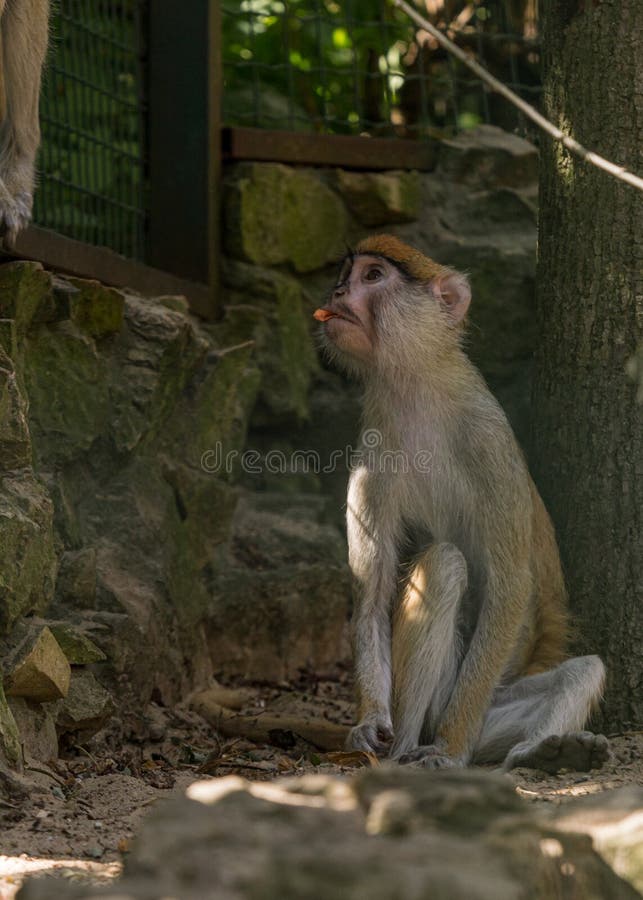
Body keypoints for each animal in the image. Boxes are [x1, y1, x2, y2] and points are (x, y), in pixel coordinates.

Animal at [314, 234, 610, 772]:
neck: (417, 395)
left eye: (373, 276)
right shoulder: (372, 464)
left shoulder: (489, 442)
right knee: (446, 564)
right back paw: (405, 750)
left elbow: (511, 587)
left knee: (582, 672)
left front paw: (449, 751)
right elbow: (373, 595)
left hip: (487, 710)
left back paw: (542, 751)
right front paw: (369, 721)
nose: (339, 291)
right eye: (346, 275)